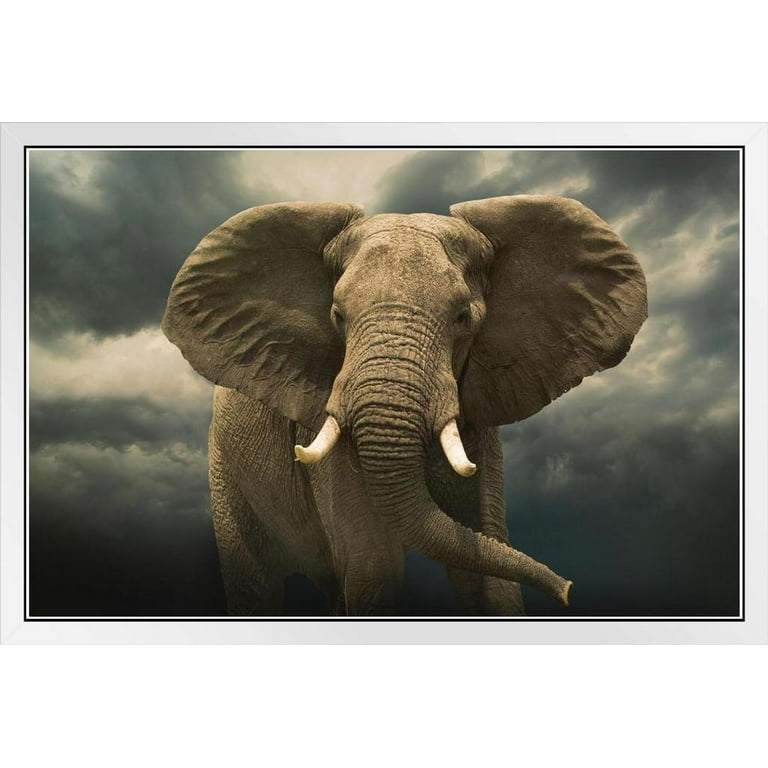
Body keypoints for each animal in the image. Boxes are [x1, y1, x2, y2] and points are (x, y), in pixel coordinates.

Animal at [161, 195, 647, 616]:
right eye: (337, 316)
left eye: (463, 318)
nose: (568, 590)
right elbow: (373, 566)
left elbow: (488, 567)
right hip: (224, 469)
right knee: (255, 584)